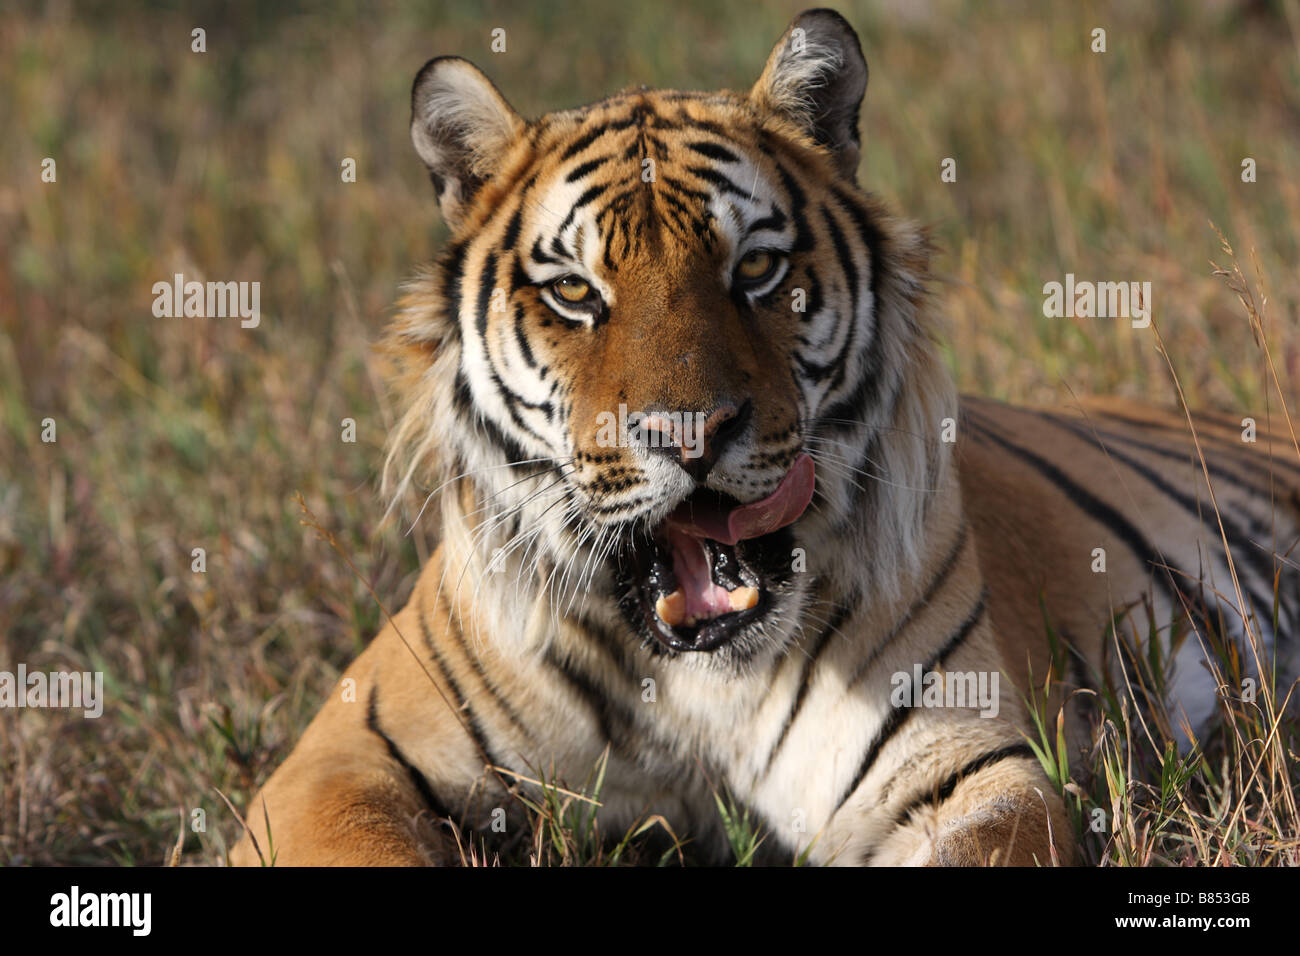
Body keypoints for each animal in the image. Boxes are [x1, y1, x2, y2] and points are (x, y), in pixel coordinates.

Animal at [230, 8, 1300, 867]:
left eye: (754, 268)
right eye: (575, 291)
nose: (688, 433)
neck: (695, 683)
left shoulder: (955, 770)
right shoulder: (341, 759)